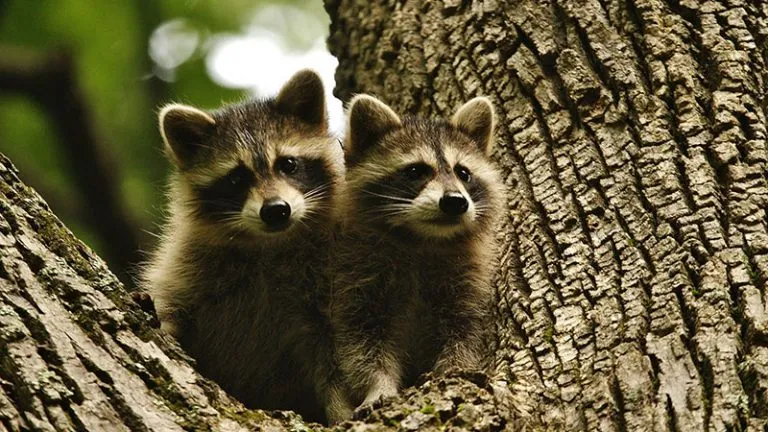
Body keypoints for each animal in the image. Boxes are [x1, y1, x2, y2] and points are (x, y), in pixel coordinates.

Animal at [140, 70, 347, 423]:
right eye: (237, 179)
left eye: (288, 165)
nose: (276, 210)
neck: (269, 245)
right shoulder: (189, 263)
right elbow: (174, 303)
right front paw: (166, 325)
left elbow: (333, 354)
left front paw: (343, 406)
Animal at [330, 95, 505, 416]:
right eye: (415, 171)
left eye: (463, 173)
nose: (455, 202)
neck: (423, 240)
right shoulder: (355, 273)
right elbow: (361, 343)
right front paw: (378, 385)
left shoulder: (467, 281)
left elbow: (466, 333)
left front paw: (452, 370)